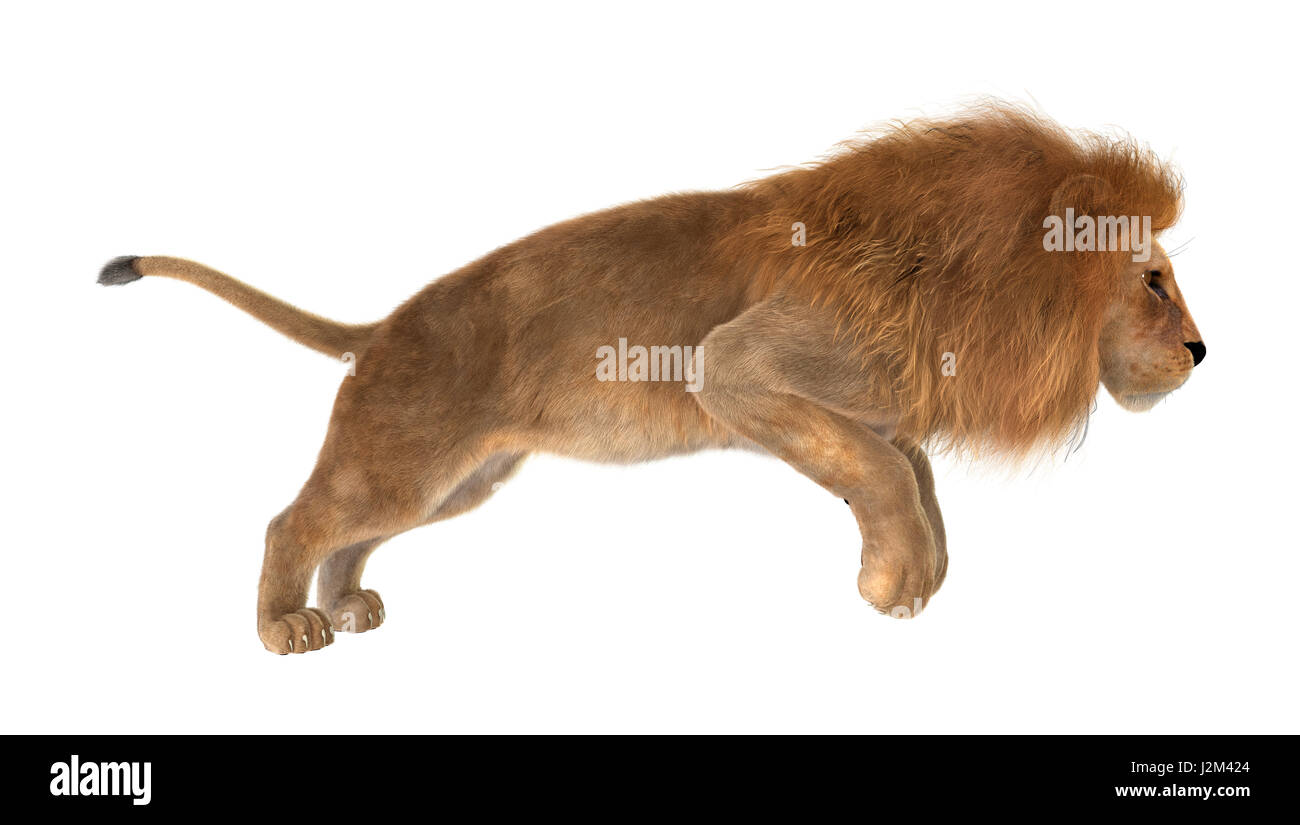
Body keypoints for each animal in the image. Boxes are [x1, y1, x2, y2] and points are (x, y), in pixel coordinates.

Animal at [98, 102, 1204, 653]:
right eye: (1151, 280)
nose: (1202, 351)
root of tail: (383, 327)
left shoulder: (872, 410)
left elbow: (911, 478)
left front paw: (918, 576)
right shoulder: (737, 368)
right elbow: (887, 475)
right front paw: (891, 585)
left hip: (455, 482)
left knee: (351, 533)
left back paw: (350, 608)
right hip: (407, 459)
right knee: (296, 519)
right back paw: (287, 626)